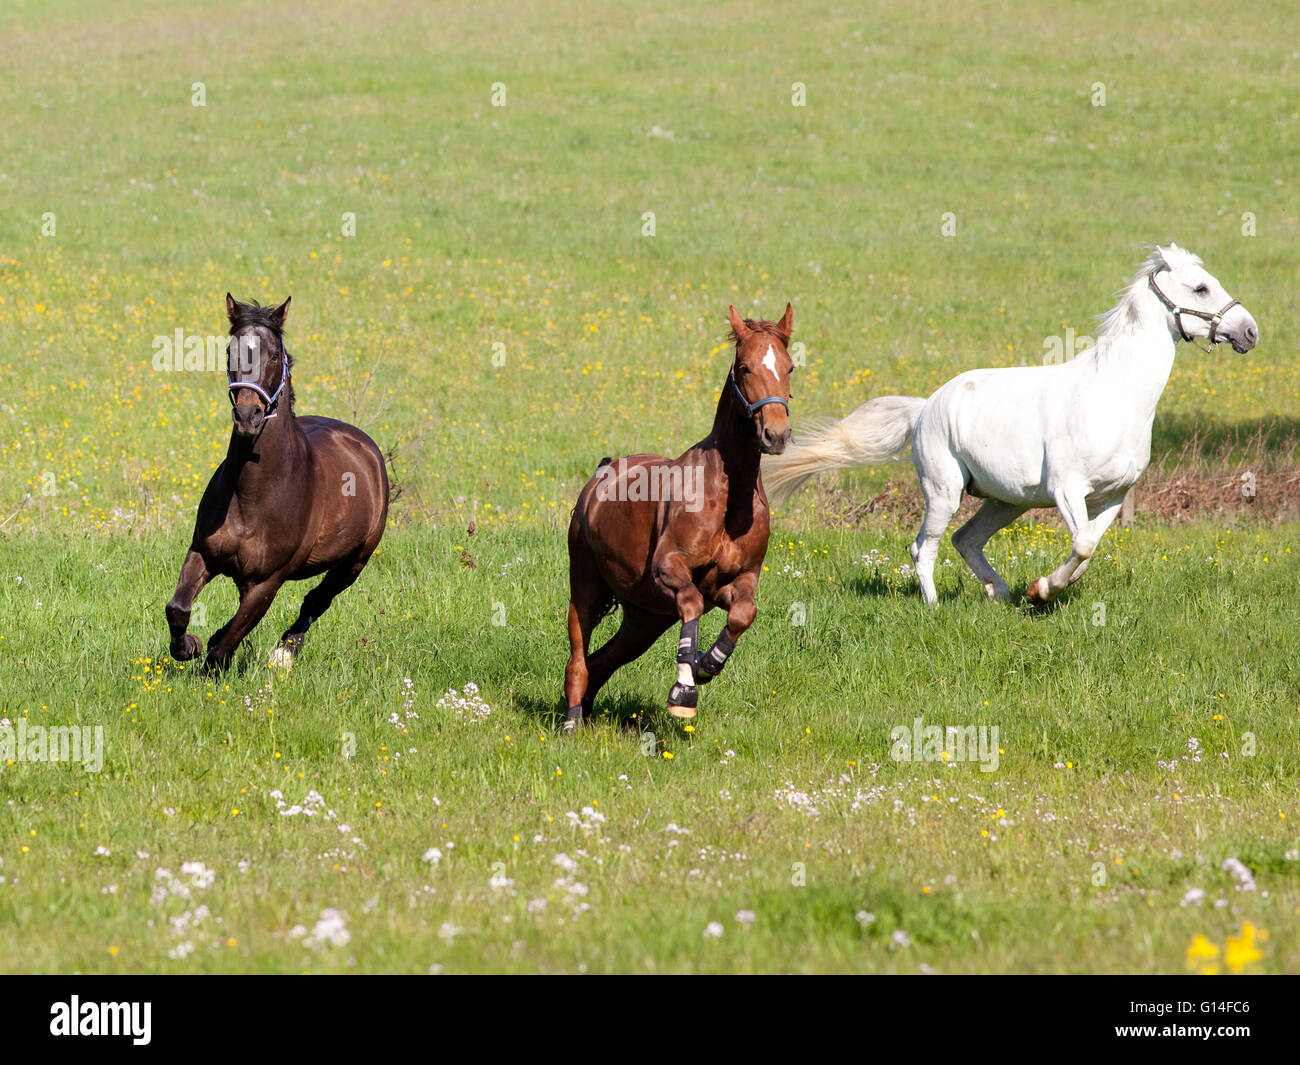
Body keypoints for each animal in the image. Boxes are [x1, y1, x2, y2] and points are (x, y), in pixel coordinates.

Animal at [165, 294, 389, 671]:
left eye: (273, 355)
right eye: (230, 351)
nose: (248, 416)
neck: (252, 495)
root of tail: (363, 444)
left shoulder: (268, 581)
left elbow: (227, 648)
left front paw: (209, 659)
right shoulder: (202, 553)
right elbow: (178, 610)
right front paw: (190, 645)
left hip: (355, 562)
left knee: (317, 600)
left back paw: (284, 653)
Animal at [563, 304, 795, 731]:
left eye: (789, 367)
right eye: (744, 367)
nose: (776, 435)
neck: (728, 498)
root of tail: (603, 472)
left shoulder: (739, 579)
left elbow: (743, 613)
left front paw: (706, 665)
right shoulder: (669, 569)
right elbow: (691, 604)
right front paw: (684, 693)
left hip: (646, 618)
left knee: (602, 661)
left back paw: (583, 711)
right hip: (586, 585)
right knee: (579, 657)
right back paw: (571, 721)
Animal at [763, 246, 1258, 606]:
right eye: (1200, 288)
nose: (1249, 331)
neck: (1115, 395)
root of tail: (924, 408)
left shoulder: (1114, 496)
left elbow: (1088, 548)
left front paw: (1040, 591)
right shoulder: (1067, 489)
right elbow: (1082, 548)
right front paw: (1041, 592)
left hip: (1006, 502)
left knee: (965, 539)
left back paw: (997, 593)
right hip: (944, 492)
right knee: (924, 548)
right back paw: (935, 606)